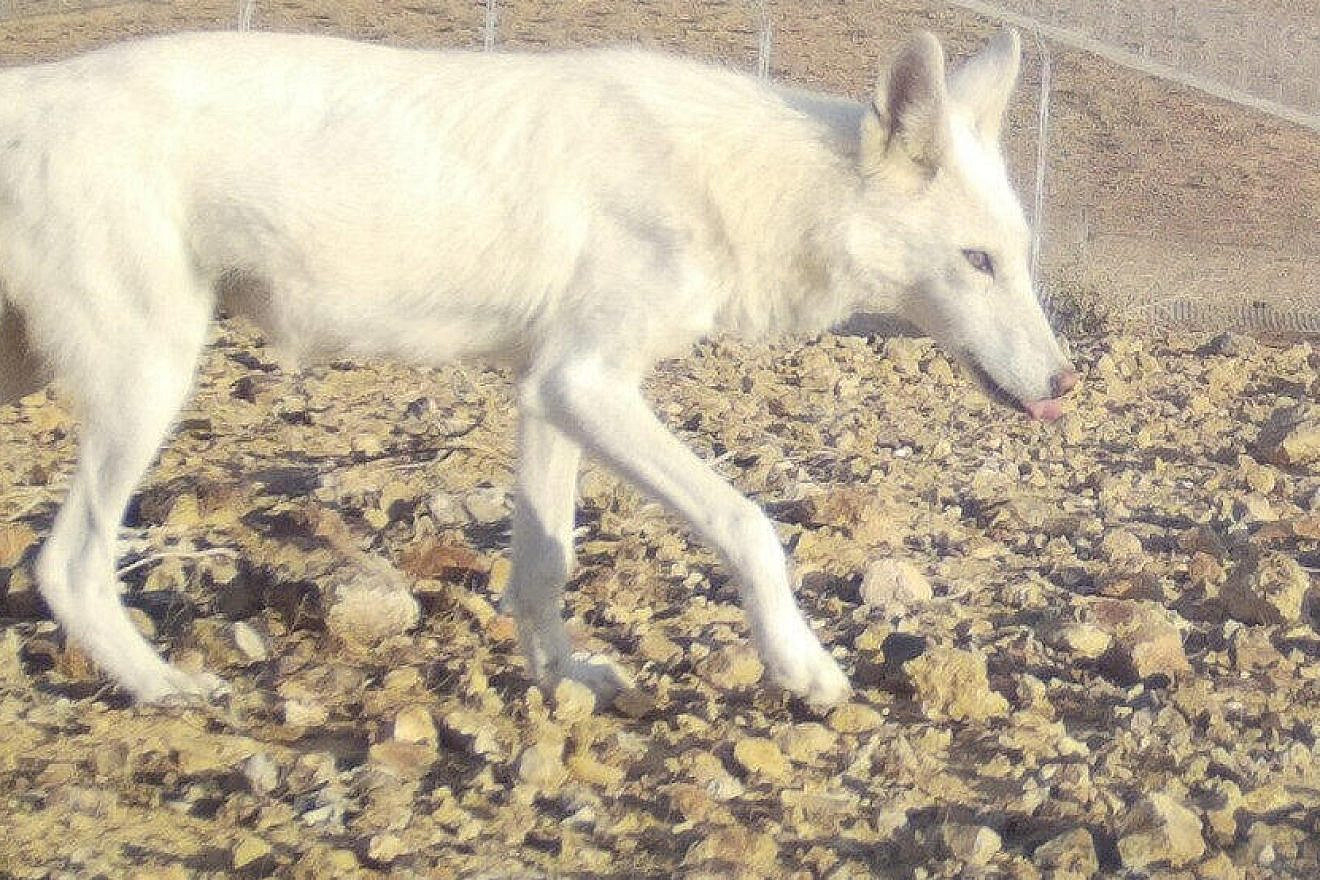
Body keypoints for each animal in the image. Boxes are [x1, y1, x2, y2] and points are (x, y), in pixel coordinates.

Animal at [0, 28, 1076, 706]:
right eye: (978, 261)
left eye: (1022, 255)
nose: (1066, 386)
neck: (749, 184)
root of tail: (30, 90)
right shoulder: (586, 384)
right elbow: (750, 525)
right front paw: (801, 667)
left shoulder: (548, 394)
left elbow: (543, 566)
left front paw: (564, 682)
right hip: (150, 380)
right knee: (68, 564)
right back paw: (165, 687)